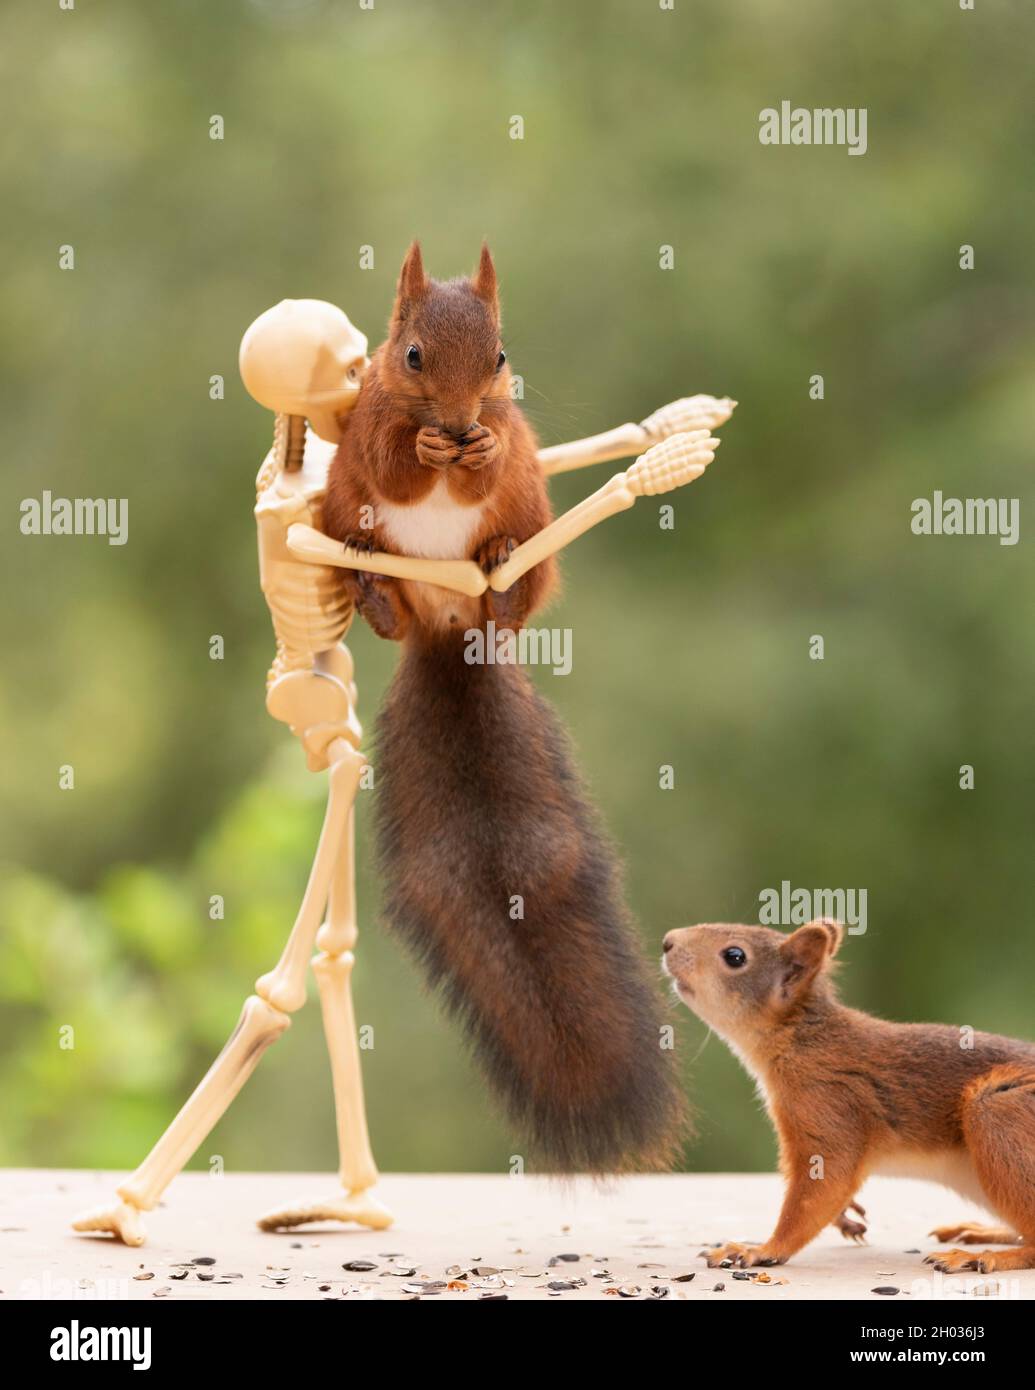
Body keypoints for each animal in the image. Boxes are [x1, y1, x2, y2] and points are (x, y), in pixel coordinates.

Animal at [322, 241, 686, 1172]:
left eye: (500, 357)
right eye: (412, 356)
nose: (456, 423)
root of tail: (450, 627)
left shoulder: (515, 436)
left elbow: (497, 451)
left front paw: (478, 446)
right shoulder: (365, 429)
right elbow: (389, 459)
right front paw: (423, 446)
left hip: (534, 523)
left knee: (519, 589)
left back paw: (497, 571)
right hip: (347, 531)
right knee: (376, 586)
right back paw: (377, 593)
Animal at [662, 919, 1035, 1274]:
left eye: (735, 956)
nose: (668, 941)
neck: (801, 1038)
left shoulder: (830, 1103)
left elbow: (820, 1188)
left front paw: (760, 1250)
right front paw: (844, 1216)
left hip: (998, 1112)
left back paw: (980, 1256)